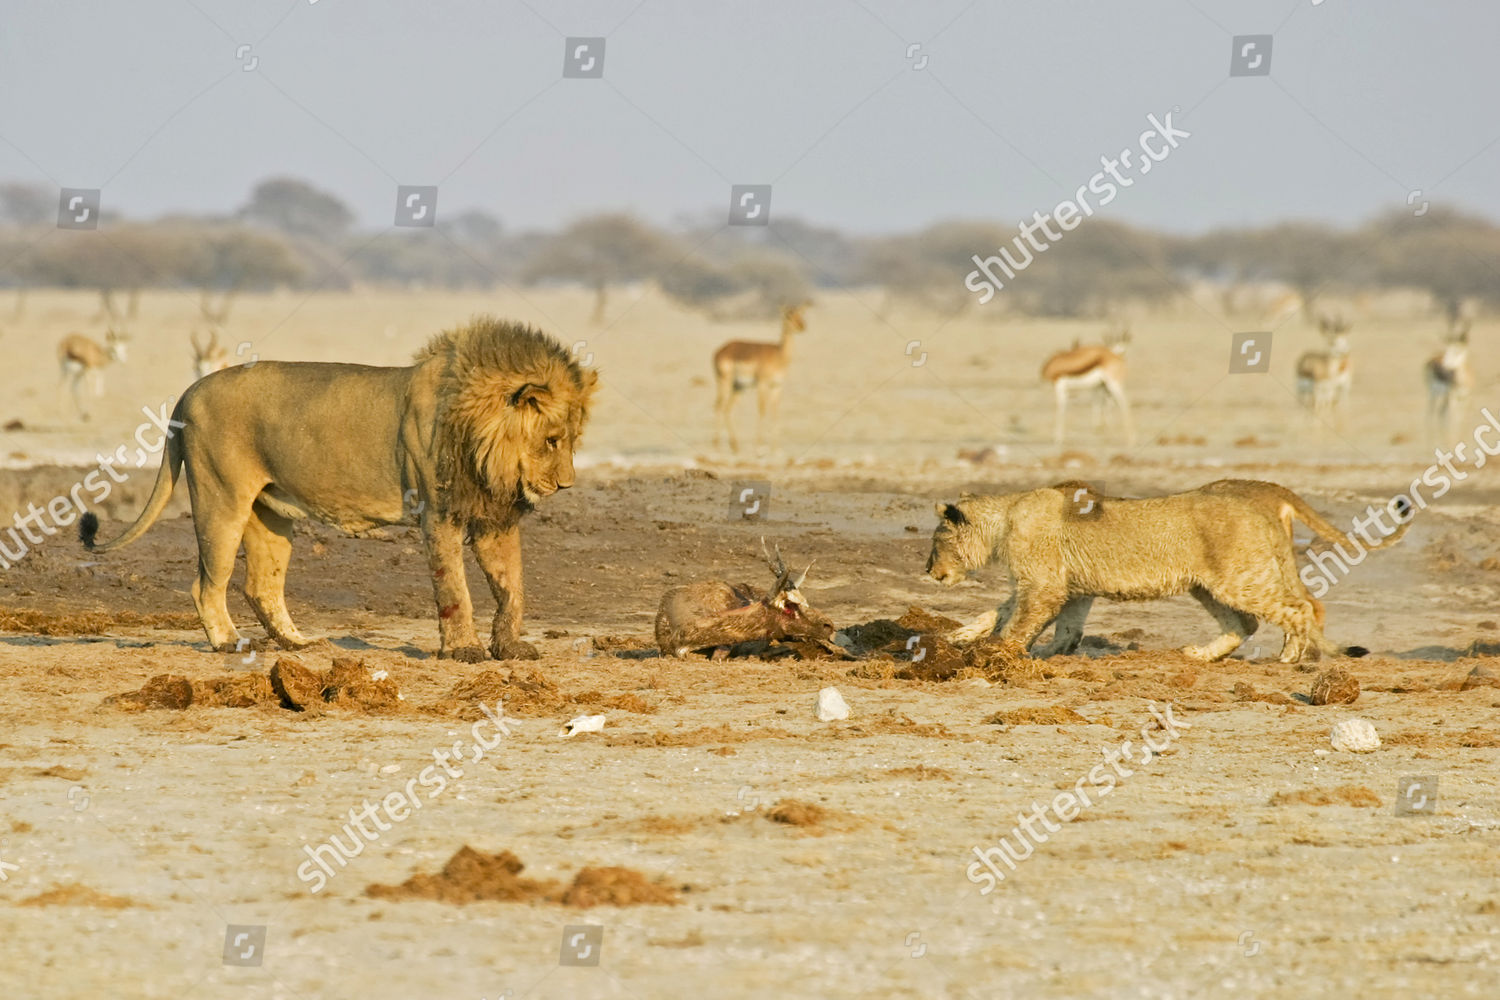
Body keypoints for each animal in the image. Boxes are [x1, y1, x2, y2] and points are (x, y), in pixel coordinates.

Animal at [79, 316, 596, 662]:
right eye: (552, 440)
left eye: (573, 440)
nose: (566, 483)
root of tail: (187, 392)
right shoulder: (438, 514)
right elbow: (455, 589)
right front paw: (463, 651)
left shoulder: (493, 518)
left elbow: (513, 589)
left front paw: (510, 648)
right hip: (220, 500)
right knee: (206, 584)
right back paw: (228, 643)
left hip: (271, 514)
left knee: (260, 585)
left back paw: (297, 643)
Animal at [926, 482, 1396, 664]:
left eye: (937, 540)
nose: (930, 570)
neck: (1005, 517)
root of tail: (1261, 508)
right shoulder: (1072, 587)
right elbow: (1012, 615)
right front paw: (963, 637)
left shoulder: (1043, 584)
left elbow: (1017, 621)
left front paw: (996, 655)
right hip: (1208, 586)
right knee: (1246, 622)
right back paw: (1201, 655)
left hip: (1239, 579)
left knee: (1298, 608)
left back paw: (1290, 657)